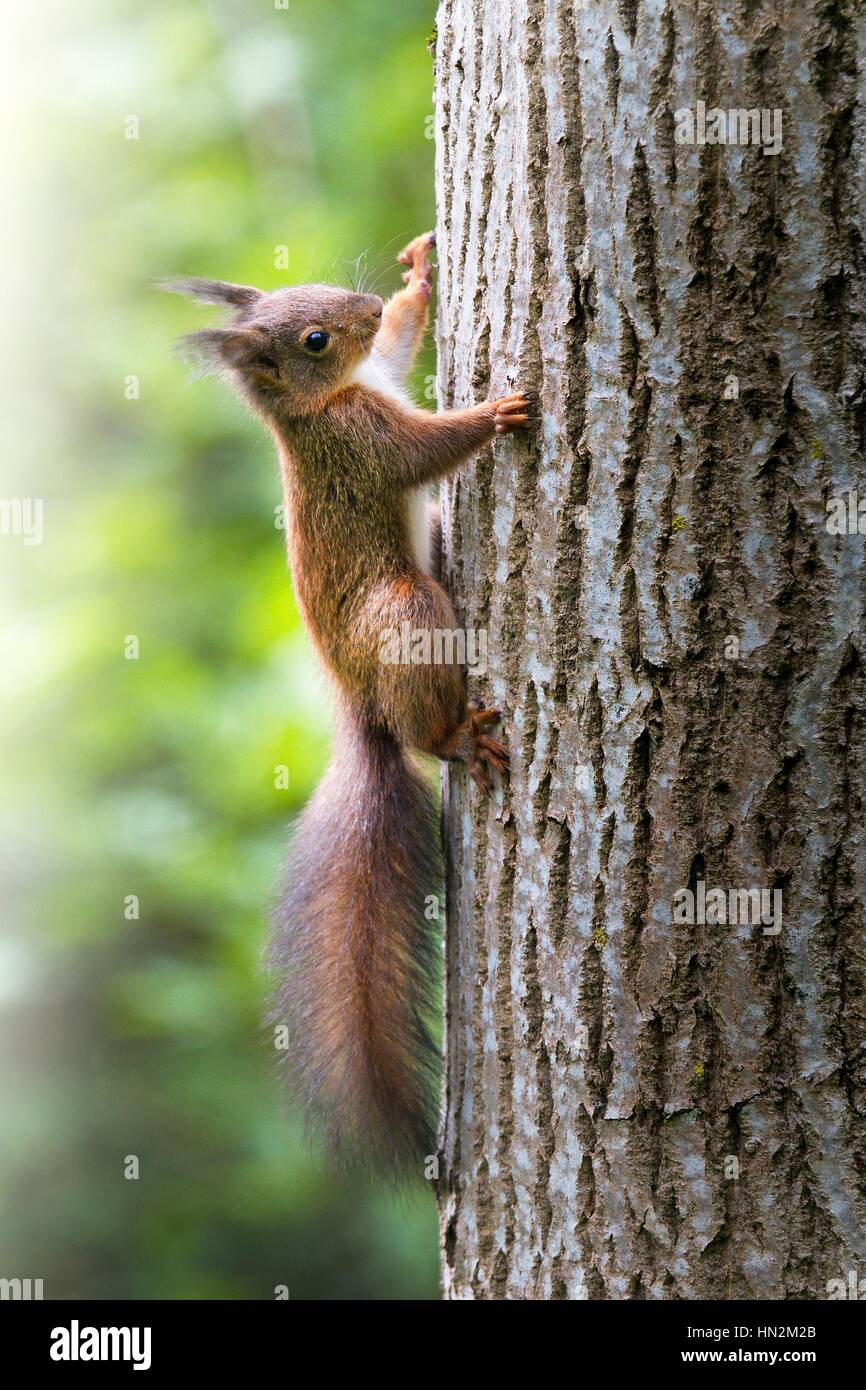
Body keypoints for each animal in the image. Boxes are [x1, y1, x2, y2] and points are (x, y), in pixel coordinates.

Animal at [164, 232, 529, 1173]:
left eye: (322, 293)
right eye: (316, 341)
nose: (360, 308)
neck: (320, 406)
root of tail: (362, 711)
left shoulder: (385, 378)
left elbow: (401, 349)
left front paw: (417, 281)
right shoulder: (363, 443)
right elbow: (424, 454)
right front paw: (496, 413)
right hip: (405, 613)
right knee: (425, 723)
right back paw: (456, 739)